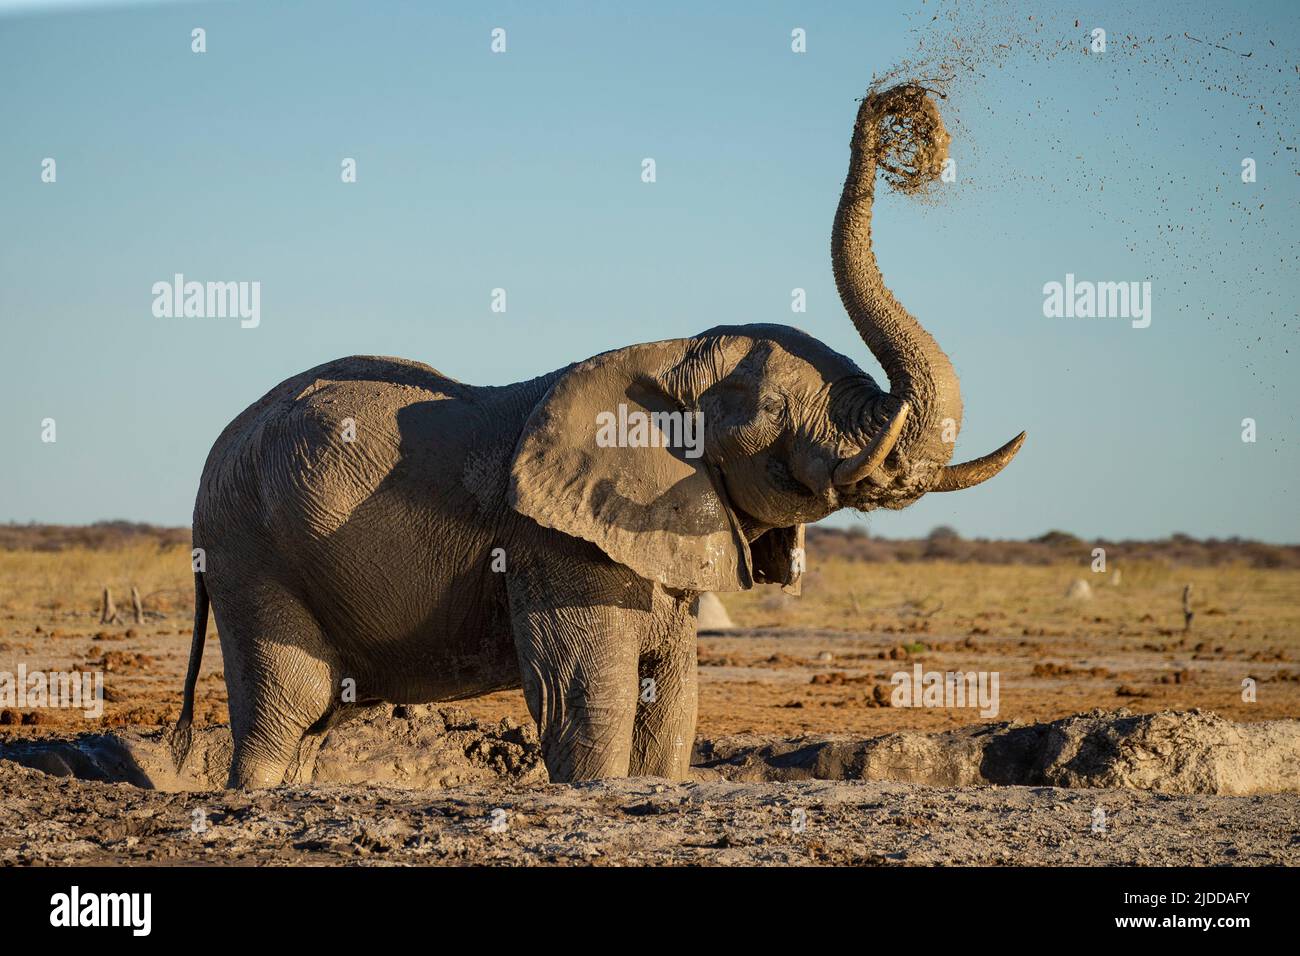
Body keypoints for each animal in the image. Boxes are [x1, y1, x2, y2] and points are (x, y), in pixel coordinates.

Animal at [173, 83, 1024, 787]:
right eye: (769, 408)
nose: (889, 109)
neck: (664, 352)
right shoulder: (555, 542)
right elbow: (590, 699)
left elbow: (671, 703)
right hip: (251, 552)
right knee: (289, 704)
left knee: (318, 721)